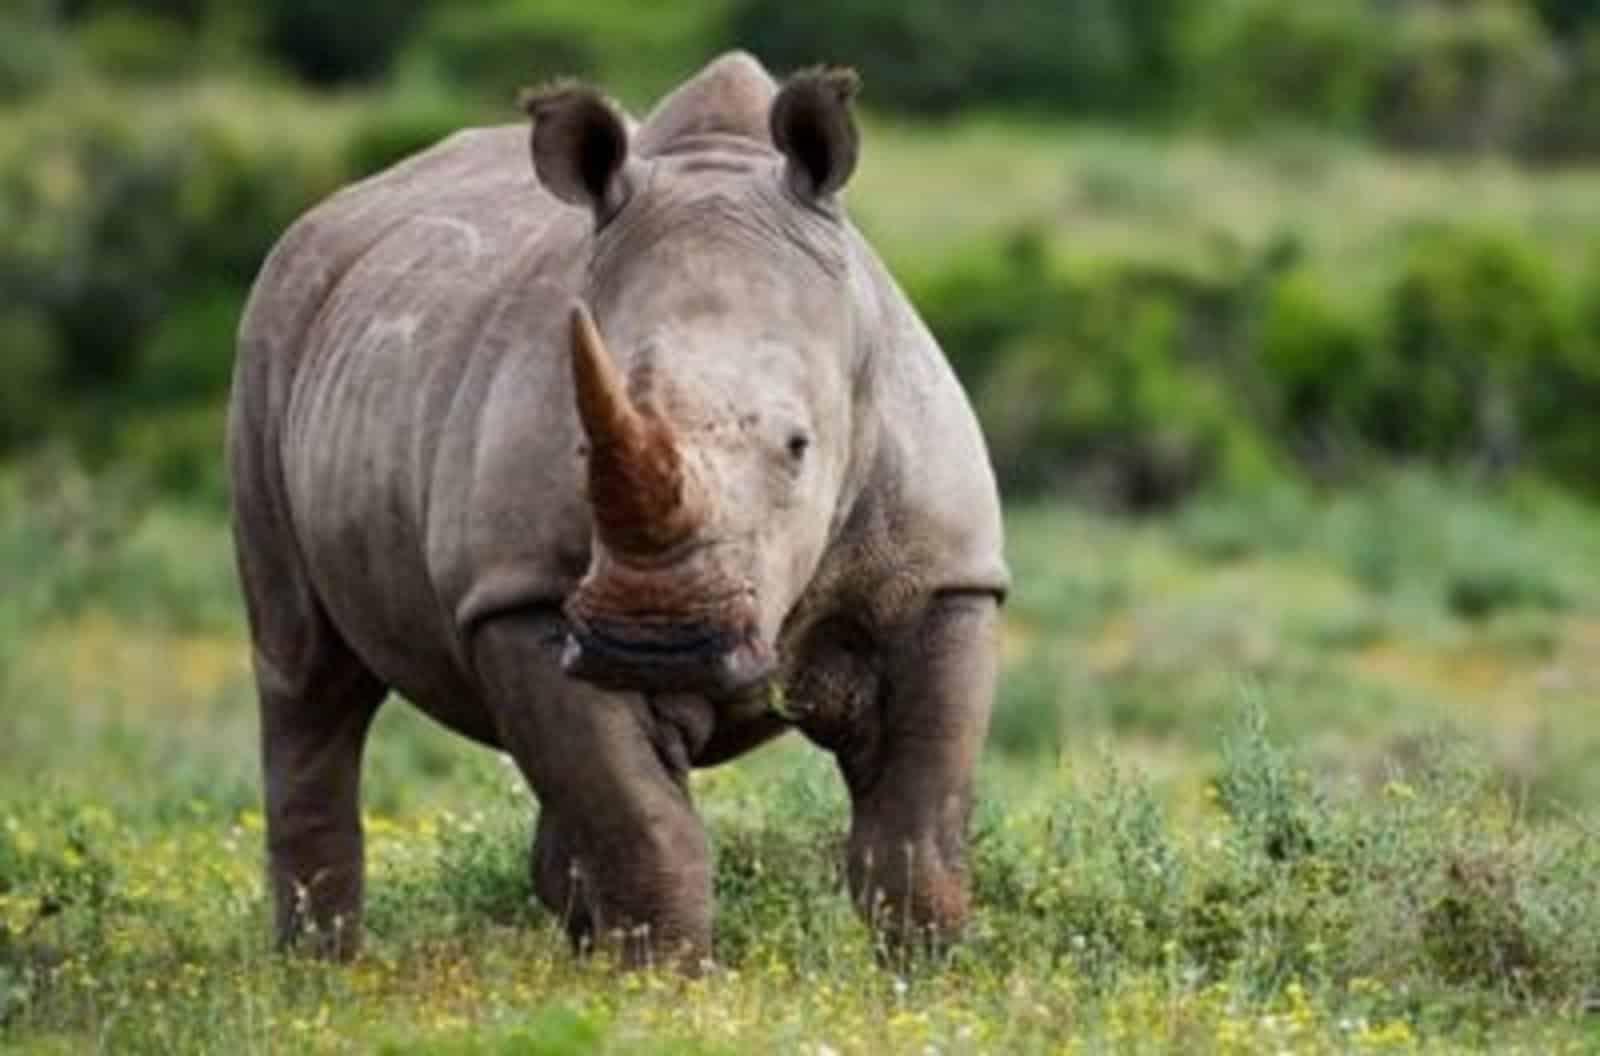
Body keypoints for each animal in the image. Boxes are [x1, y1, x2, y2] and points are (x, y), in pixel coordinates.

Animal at [228, 51, 1008, 968]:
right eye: (579, 449)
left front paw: (927, 976)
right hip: (269, 340)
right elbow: (642, 825)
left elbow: (918, 827)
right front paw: (666, 984)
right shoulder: (521, 599)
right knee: (307, 676)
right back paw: (322, 975)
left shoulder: (945, 576)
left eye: (798, 446)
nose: (657, 642)